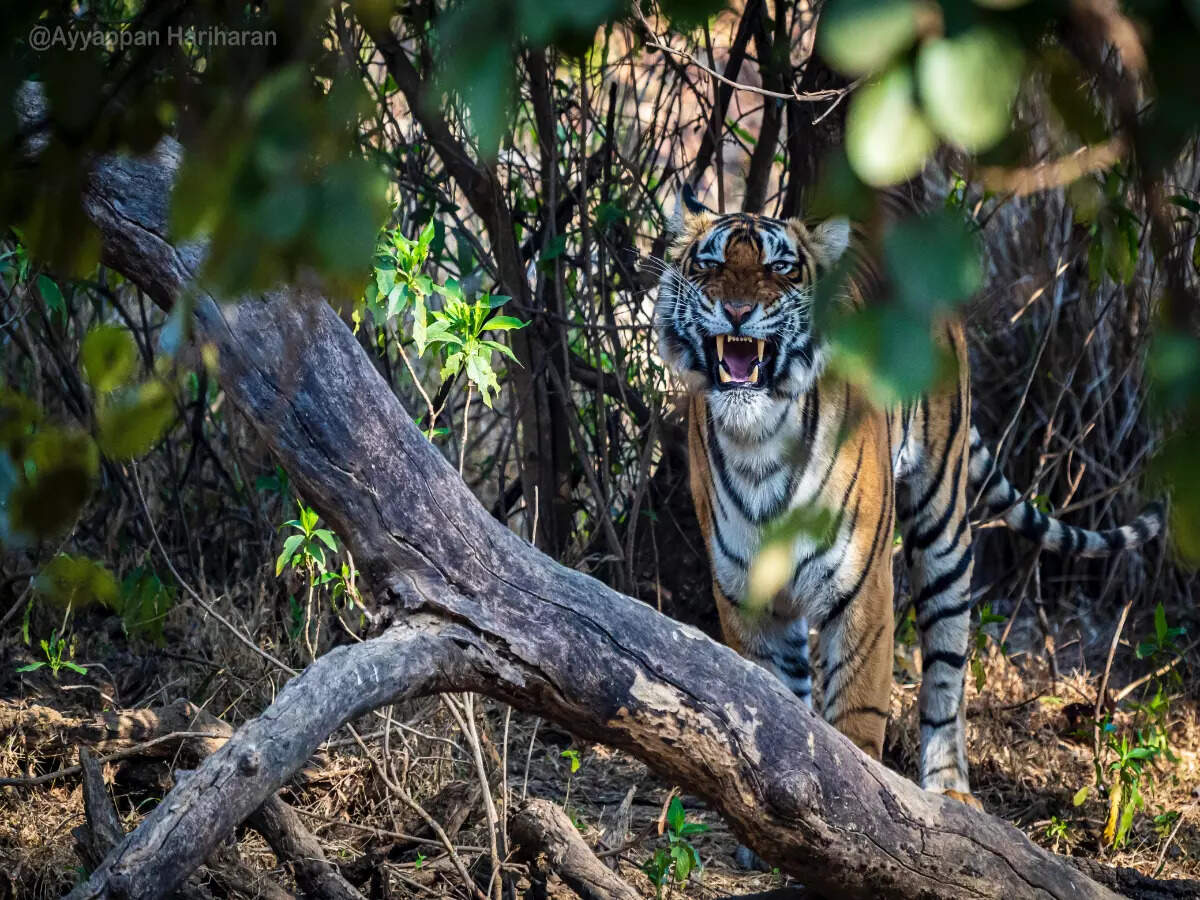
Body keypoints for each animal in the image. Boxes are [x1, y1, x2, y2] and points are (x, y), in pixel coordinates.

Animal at [652, 185, 1164, 825]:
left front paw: (853, 818)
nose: (739, 311)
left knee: (946, 670)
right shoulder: (746, 594)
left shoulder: (862, 588)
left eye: (781, 269)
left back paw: (949, 788)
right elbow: (769, 709)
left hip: (945, 527)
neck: (759, 440)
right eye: (711, 264)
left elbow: (855, 718)